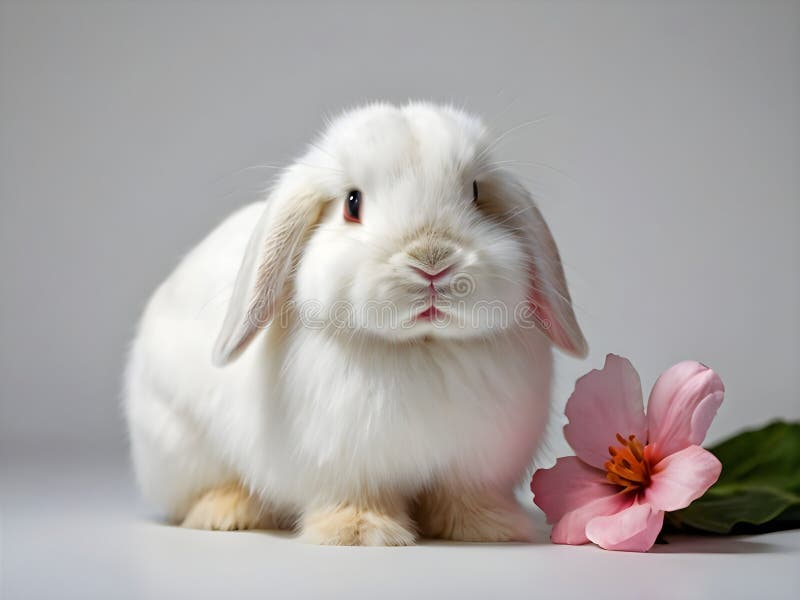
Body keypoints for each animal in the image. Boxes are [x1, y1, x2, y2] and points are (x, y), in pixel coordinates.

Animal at [124, 101, 587, 545]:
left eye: (476, 193)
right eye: (352, 204)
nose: (432, 261)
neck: (421, 346)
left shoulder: (474, 466)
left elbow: (465, 497)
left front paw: (487, 527)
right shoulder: (346, 465)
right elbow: (356, 497)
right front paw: (361, 532)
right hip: (181, 445)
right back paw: (227, 513)